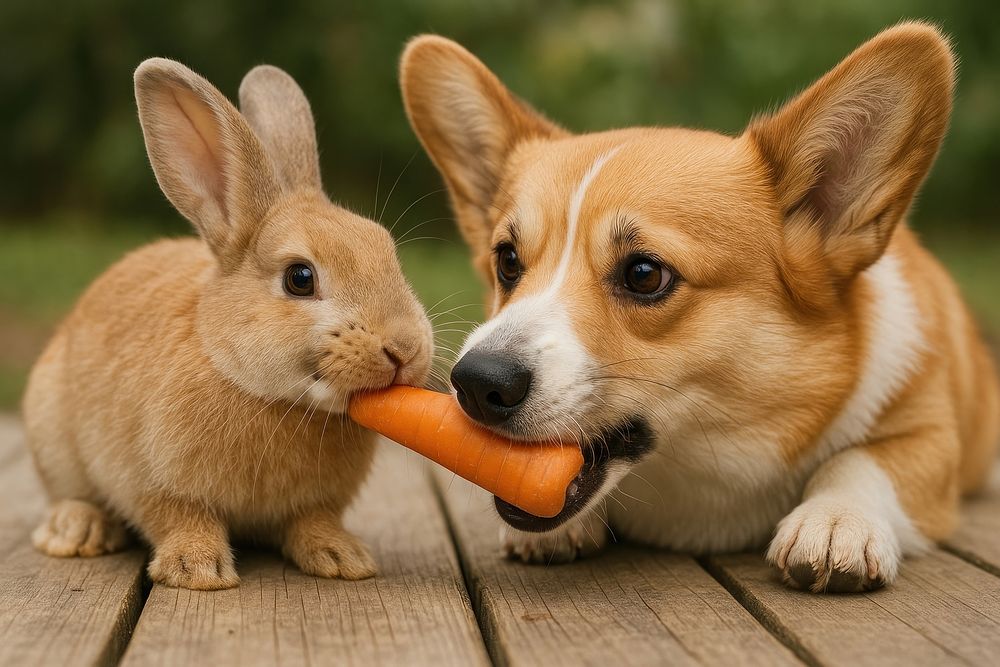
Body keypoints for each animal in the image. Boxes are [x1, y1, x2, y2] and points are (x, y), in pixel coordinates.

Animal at [21, 58, 433, 590]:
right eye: (300, 278)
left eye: (386, 249)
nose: (405, 349)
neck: (270, 397)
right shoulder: (151, 481)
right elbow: (180, 517)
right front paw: (197, 571)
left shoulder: (315, 504)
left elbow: (312, 521)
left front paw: (343, 559)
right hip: (51, 433)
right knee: (69, 493)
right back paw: (76, 530)